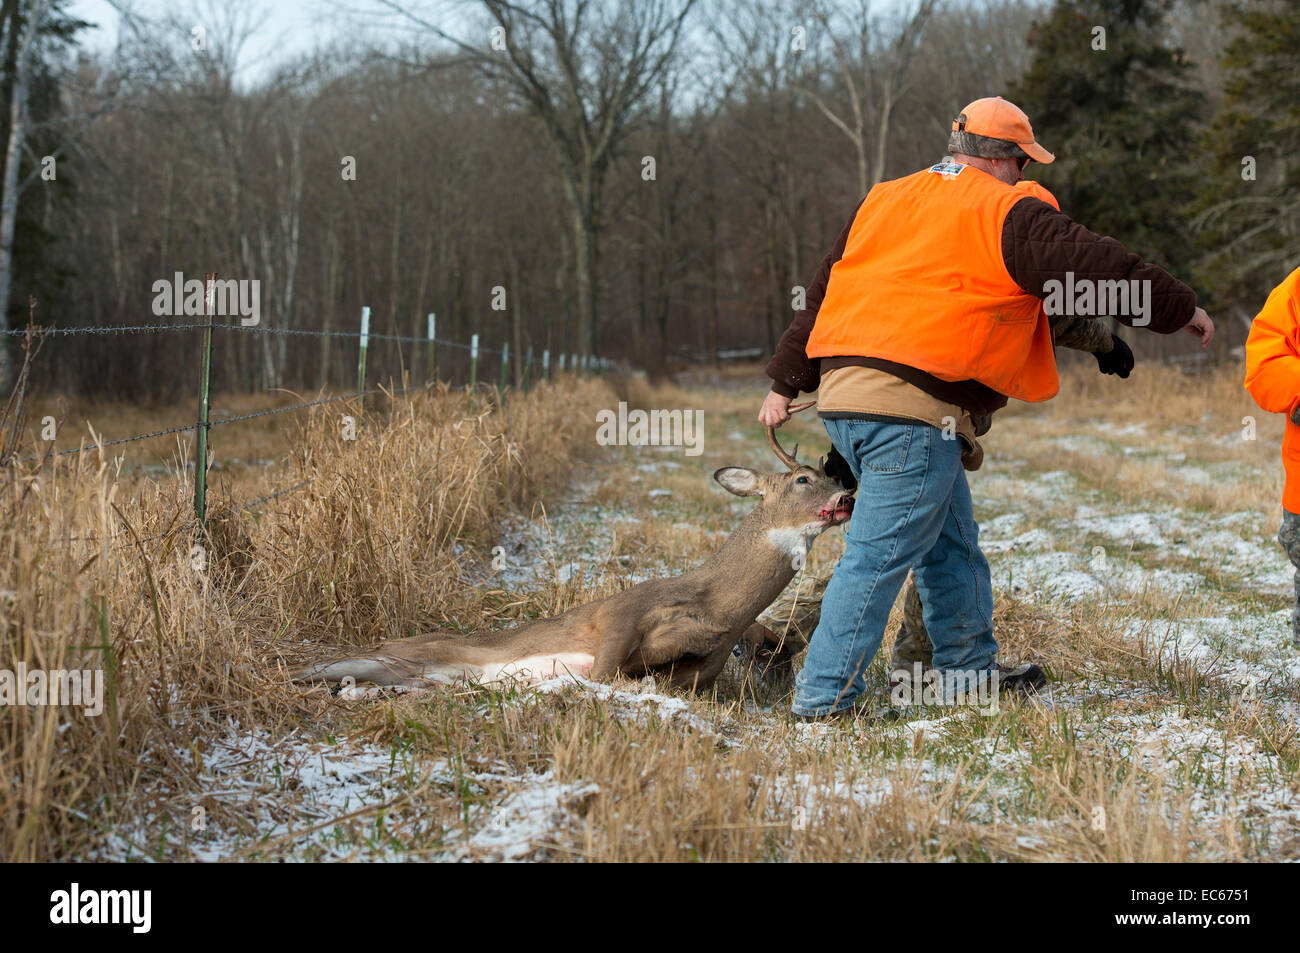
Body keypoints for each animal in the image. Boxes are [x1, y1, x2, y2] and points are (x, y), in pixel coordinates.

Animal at [288, 403, 852, 693]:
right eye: (804, 479)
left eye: (831, 478)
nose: (847, 497)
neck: (716, 607)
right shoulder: (620, 614)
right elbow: (603, 672)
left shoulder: (698, 670)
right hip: (404, 649)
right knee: (328, 663)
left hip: (417, 674)